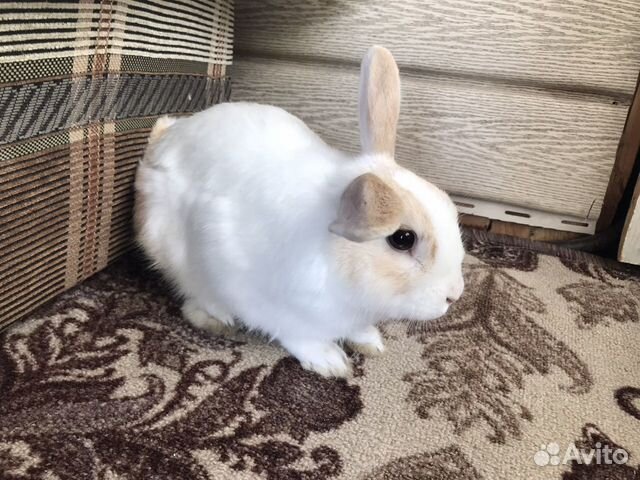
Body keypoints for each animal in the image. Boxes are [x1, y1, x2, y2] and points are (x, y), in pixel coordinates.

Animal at [134, 46, 465, 378]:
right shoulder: (258, 295)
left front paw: (370, 341)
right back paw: (219, 317)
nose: (455, 295)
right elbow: (295, 332)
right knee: (192, 293)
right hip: (174, 249)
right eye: (402, 239)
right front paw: (331, 362)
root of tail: (162, 139)